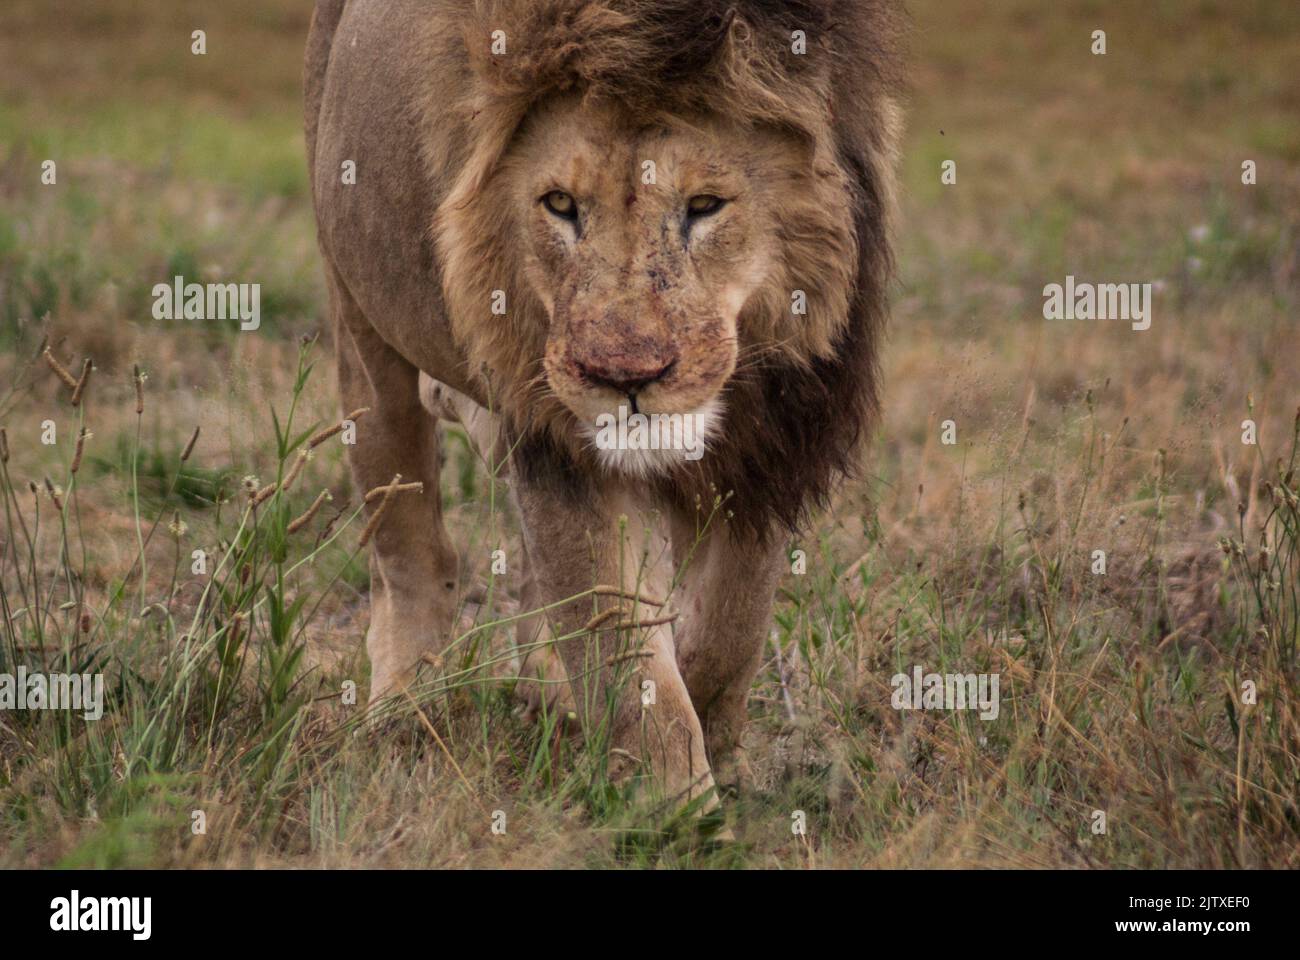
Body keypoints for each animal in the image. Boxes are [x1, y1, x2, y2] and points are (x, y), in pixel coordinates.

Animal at [305, 0, 904, 804]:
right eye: (561, 205)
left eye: (705, 206)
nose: (622, 376)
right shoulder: (561, 441)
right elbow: (628, 652)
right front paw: (677, 805)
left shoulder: (776, 446)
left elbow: (732, 623)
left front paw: (713, 742)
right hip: (364, 327)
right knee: (408, 543)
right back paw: (404, 711)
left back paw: (549, 694)